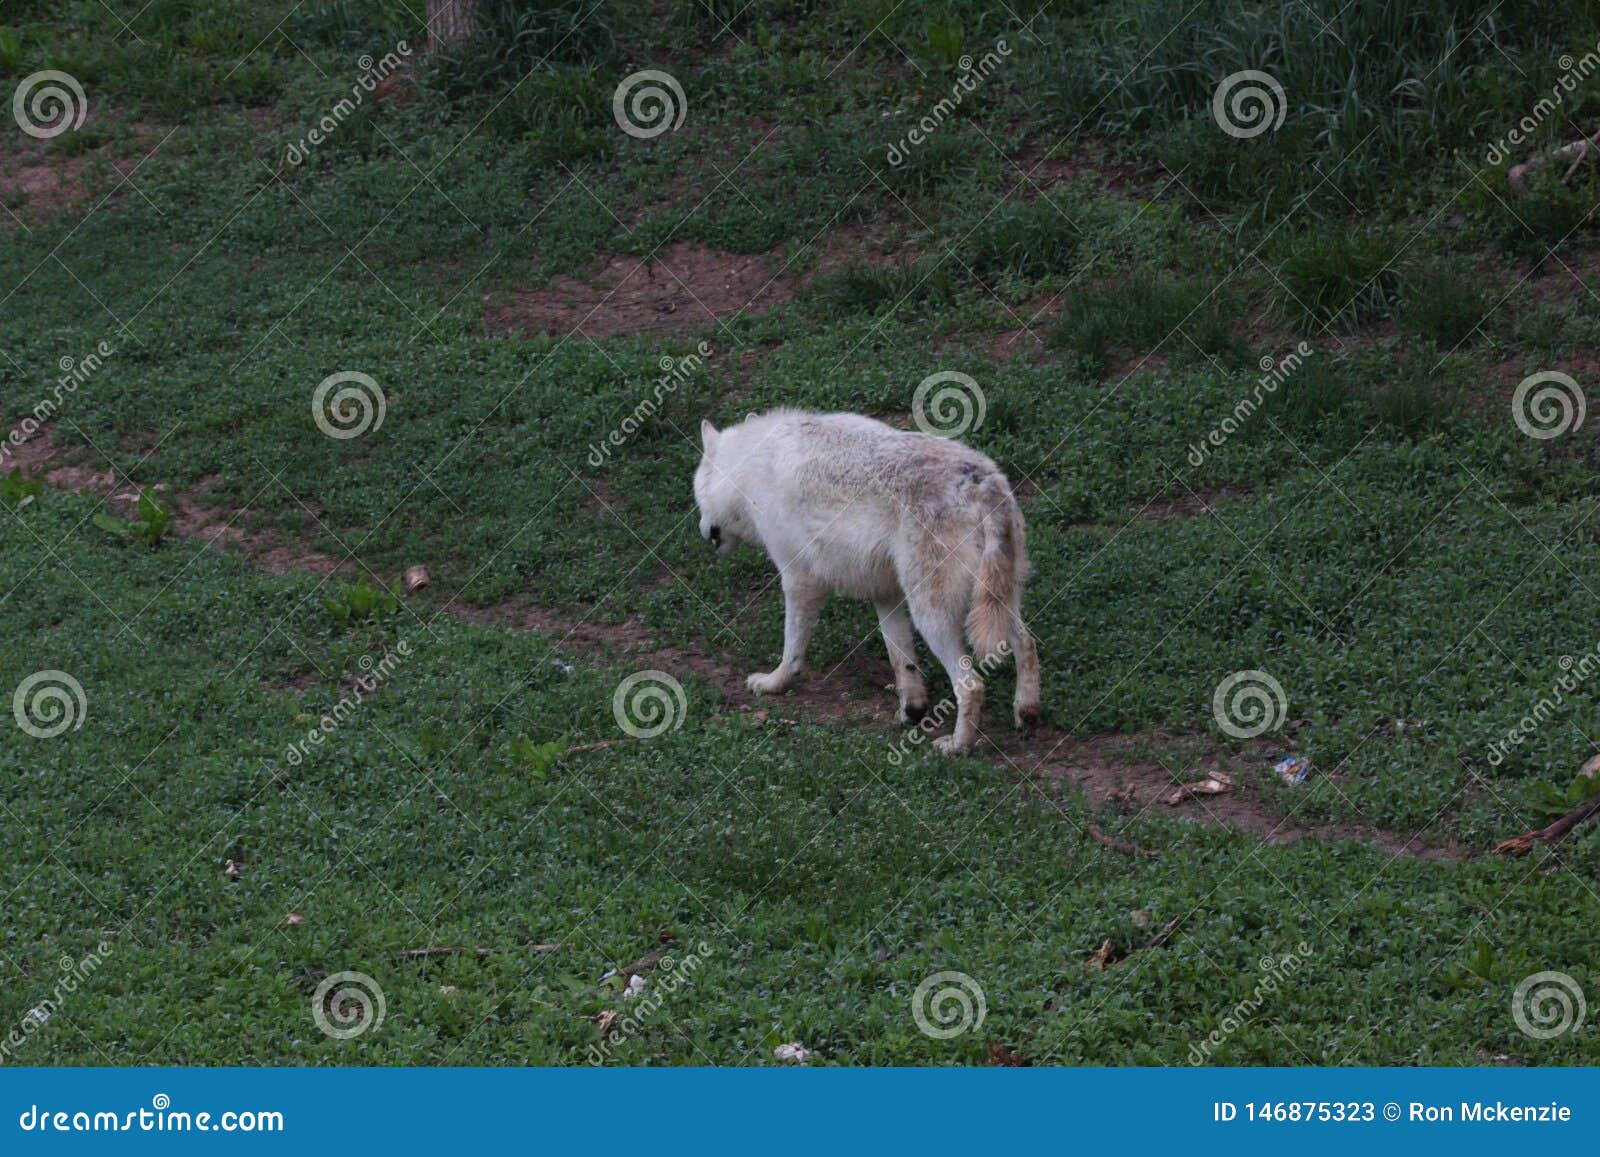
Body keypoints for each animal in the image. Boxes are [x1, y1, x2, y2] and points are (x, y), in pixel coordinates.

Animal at [693, 409, 1040, 753]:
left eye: (698, 495)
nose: (703, 531)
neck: (750, 468)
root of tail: (982, 483)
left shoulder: (798, 580)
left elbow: (792, 647)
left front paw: (773, 683)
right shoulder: (884, 594)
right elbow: (902, 660)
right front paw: (912, 711)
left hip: (932, 616)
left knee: (971, 684)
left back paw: (957, 746)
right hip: (996, 604)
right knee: (1026, 642)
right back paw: (1026, 714)